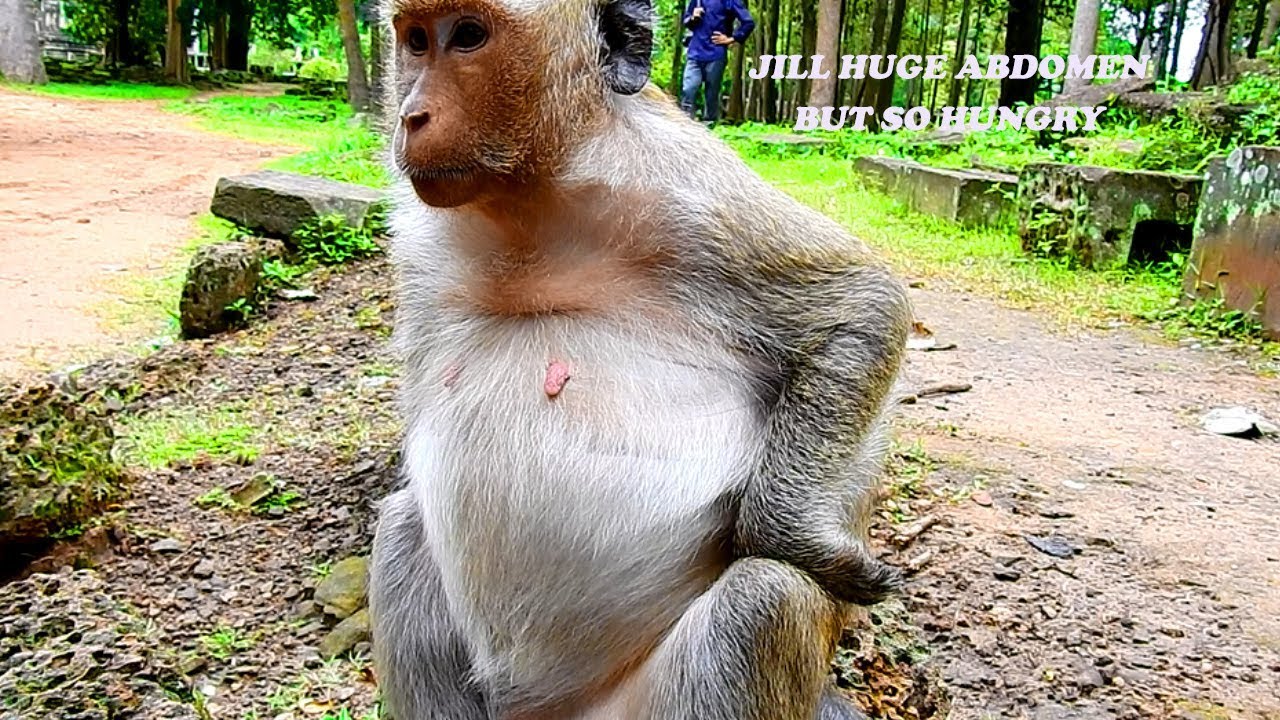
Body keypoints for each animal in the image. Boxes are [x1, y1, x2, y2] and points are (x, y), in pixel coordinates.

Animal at [367, 0, 912, 717]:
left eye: (469, 37)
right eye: (415, 41)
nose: (412, 116)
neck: (532, 206)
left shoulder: (687, 190)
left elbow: (864, 305)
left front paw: (791, 532)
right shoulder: (417, 244)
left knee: (760, 602)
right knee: (403, 525)